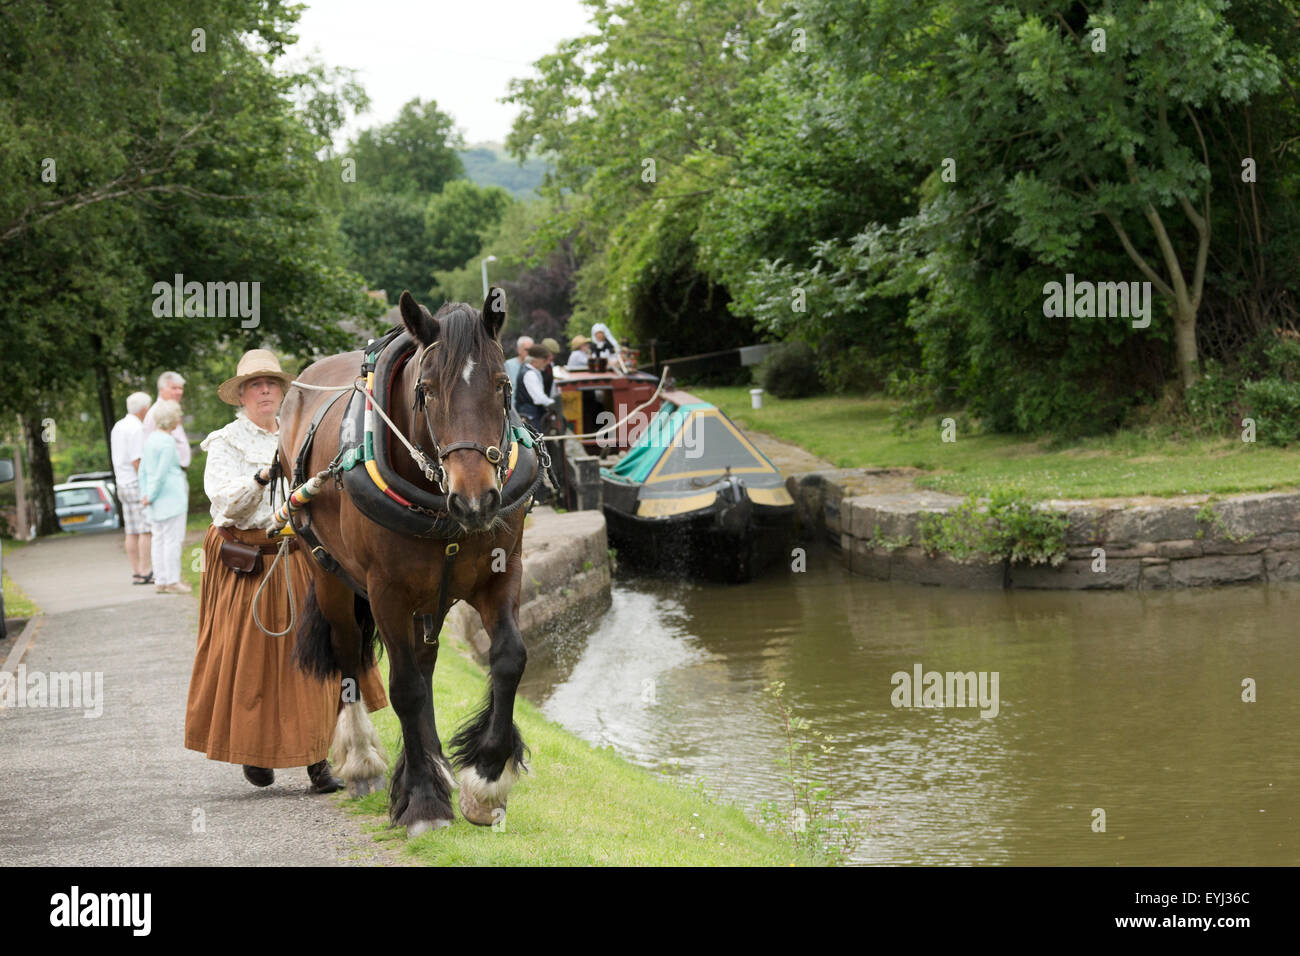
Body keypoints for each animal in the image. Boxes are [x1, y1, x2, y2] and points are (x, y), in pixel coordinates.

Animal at [277, 289, 533, 834]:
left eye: (502, 385)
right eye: (428, 391)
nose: (476, 500)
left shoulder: (502, 574)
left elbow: (509, 659)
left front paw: (485, 780)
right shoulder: (386, 593)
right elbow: (405, 689)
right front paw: (422, 801)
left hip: (430, 599)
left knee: (427, 662)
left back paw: (436, 760)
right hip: (330, 576)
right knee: (350, 654)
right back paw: (362, 762)